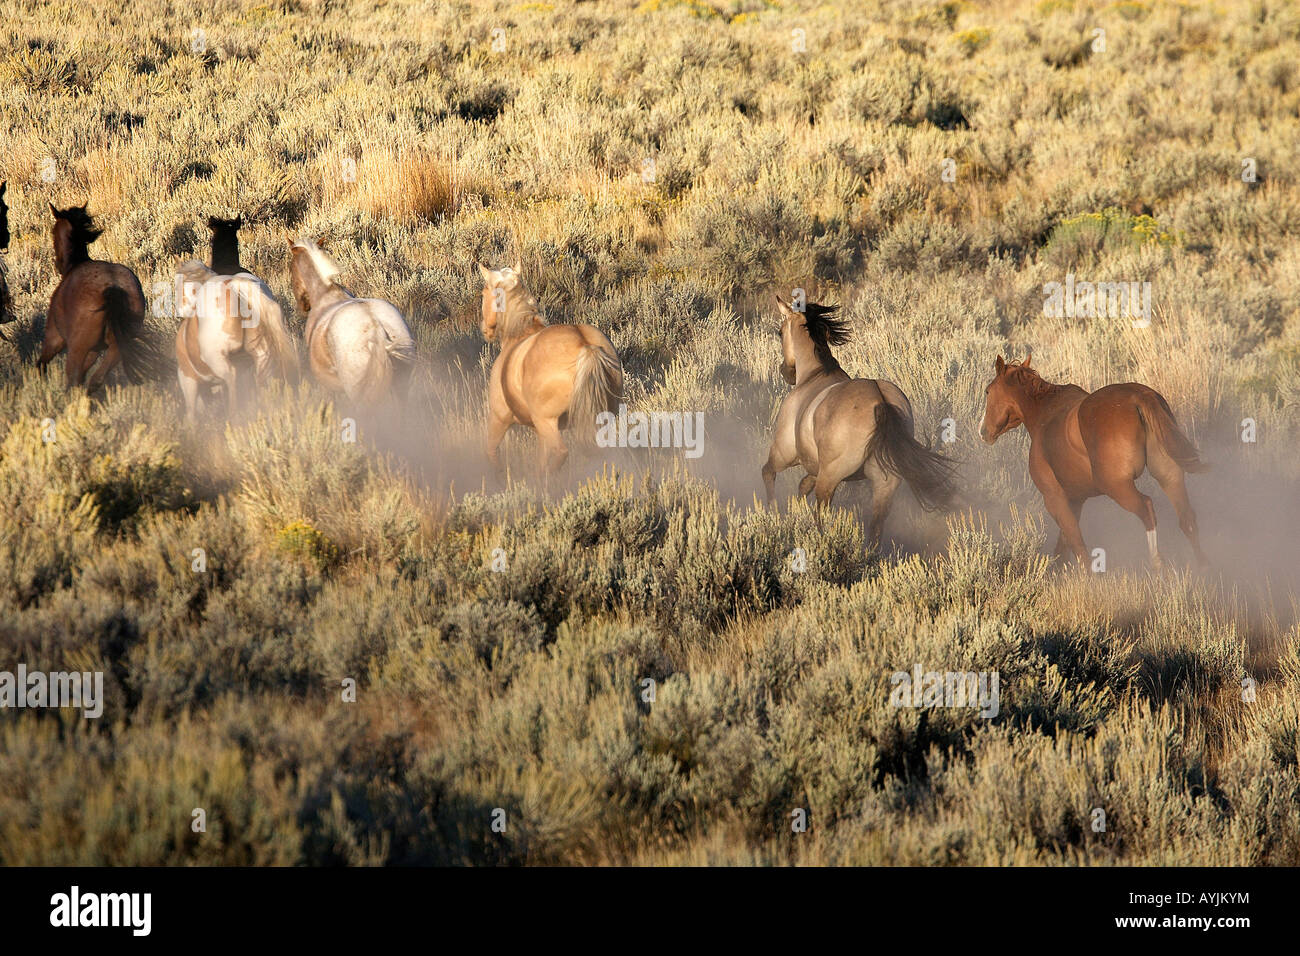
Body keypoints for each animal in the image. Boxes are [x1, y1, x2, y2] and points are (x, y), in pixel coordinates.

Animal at [41, 204, 157, 389]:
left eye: (53, 232)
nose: (57, 263)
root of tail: (113, 288)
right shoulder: (95, 351)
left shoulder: (54, 339)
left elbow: (41, 364)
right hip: (115, 350)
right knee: (95, 380)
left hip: (77, 348)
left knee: (73, 378)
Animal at [174, 218, 299, 423]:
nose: (180, 311)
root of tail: (235, 285)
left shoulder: (188, 378)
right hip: (261, 356)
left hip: (218, 360)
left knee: (232, 380)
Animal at [477, 262, 623, 474]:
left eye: (484, 292)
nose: (485, 330)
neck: (519, 334)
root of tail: (586, 346)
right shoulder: (538, 432)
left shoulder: (499, 418)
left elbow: (492, 453)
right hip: (601, 421)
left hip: (547, 422)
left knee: (561, 452)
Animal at [762, 295, 956, 548]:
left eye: (779, 332)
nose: (787, 372)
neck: (814, 375)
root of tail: (879, 401)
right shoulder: (814, 467)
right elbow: (802, 486)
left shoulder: (784, 454)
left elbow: (768, 473)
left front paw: (774, 514)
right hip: (885, 484)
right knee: (875, 528)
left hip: (831, 478)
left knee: (822, 513)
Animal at [979, 354, 1207, 568]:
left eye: (988, 391)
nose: (983, 431)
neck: (1045, 413)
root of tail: (1138, 397)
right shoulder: (1075, 499)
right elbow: (1064, 546)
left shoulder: (1054, 498)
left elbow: (1078, 546)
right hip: (1169, 476)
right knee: (1187, 519)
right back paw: (1204, 569)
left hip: (1117, 487)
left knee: (1147, 510)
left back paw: (1157, 562)